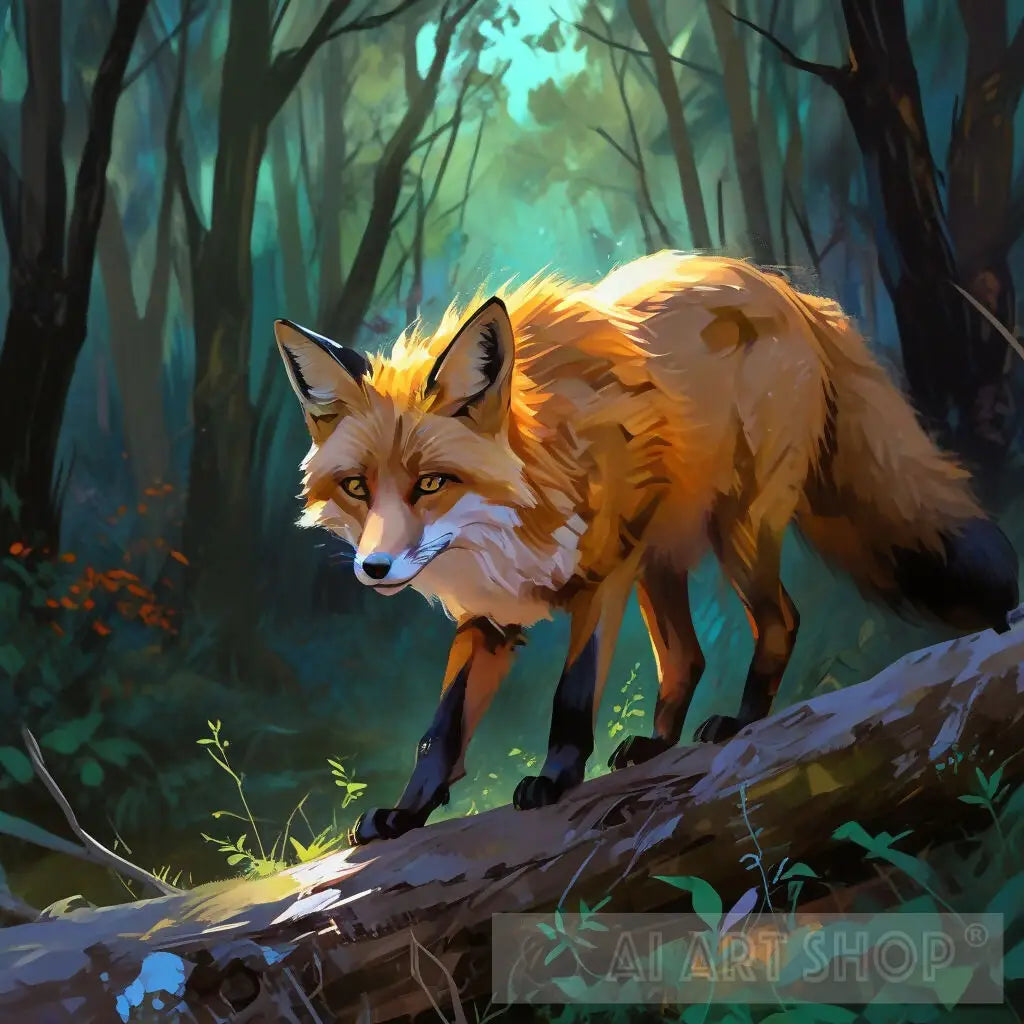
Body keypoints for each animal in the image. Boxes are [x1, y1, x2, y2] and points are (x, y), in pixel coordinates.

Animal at [273, 251, 1020, 845]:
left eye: (430, 483)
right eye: (357, 487)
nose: (375, 568)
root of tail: (782, 287)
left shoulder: (603, 575)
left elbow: (572, 695)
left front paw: (555, 778)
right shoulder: (489, 617)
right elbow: (441, 731)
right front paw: (405, 816)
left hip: (736, 531)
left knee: (781, 619)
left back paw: (742, 723)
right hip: (660, 562)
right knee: (687, 656)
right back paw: (659, 744)